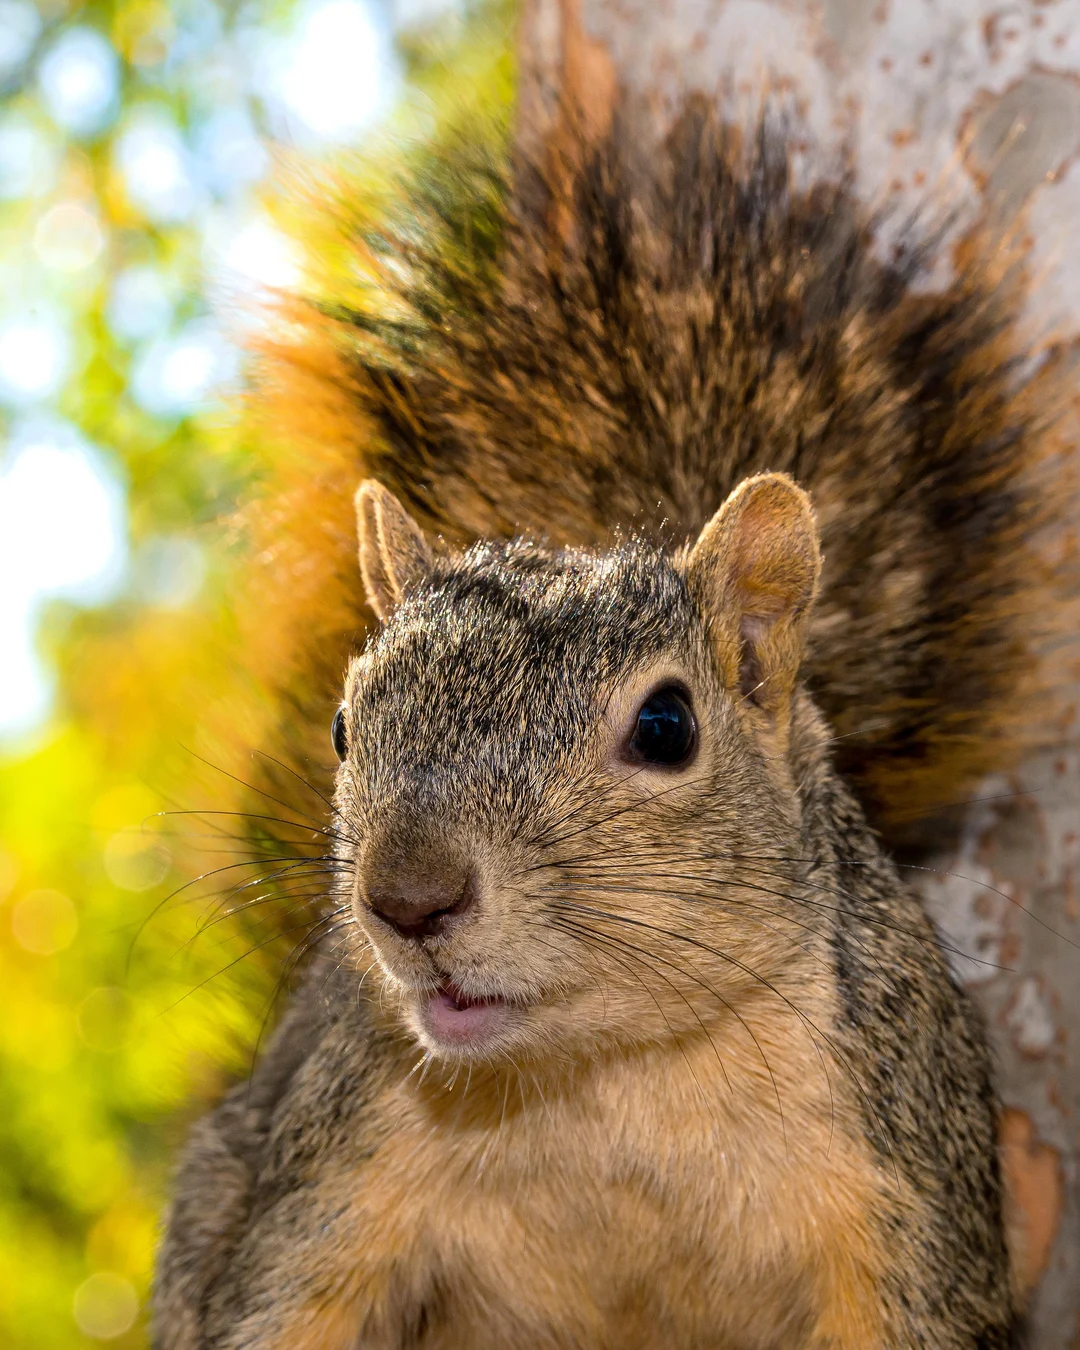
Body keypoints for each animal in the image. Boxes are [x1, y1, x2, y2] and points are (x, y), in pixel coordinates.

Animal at [152, 94, 1072, 1349]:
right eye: (345, 727)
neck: (605, 1078)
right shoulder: (322, 1183)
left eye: (668, 728)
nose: (409, 899)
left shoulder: (907, 1199)